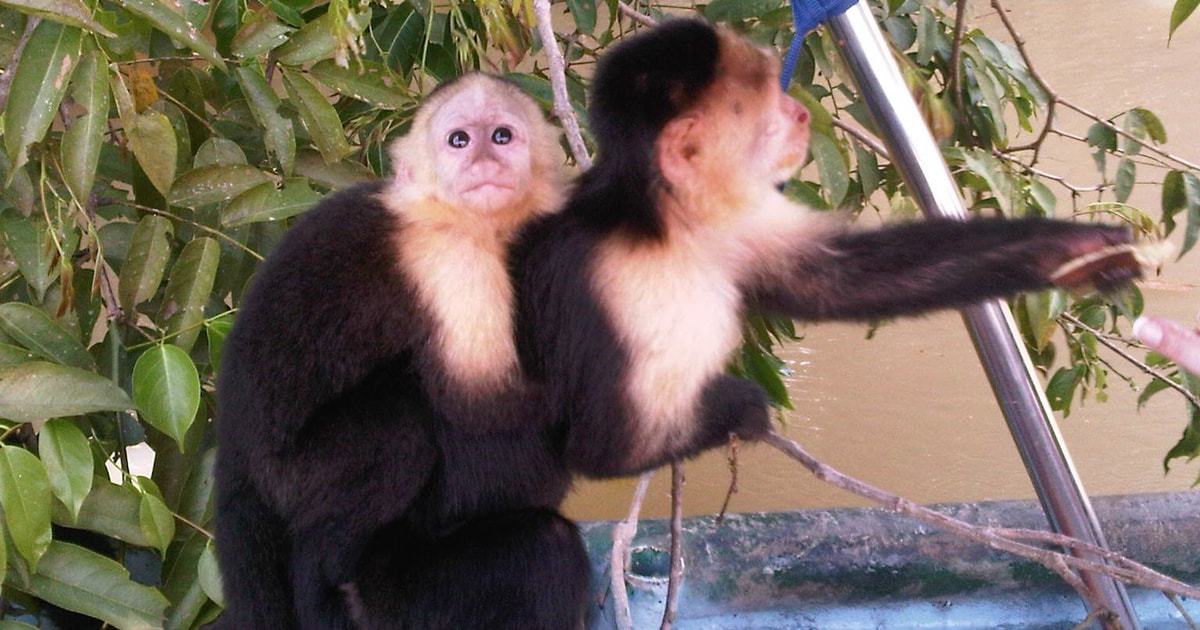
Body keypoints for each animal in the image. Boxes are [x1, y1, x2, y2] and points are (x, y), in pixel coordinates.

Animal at [212, 73, 588, 630]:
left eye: (502, 136)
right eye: (459, 141)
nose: (484, 162)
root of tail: (232, 451)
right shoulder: (451, 260)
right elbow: (483, 404)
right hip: (289, 477)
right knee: (403, 426)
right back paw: (335, 583)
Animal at [508, 19, 1142, 482]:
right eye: (768, 108)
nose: (798, 112)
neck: (667, 227)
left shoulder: (734, 220)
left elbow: (834, 280)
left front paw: (1076, 249)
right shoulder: (603, 283)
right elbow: (607, 448)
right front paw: (742, 406)